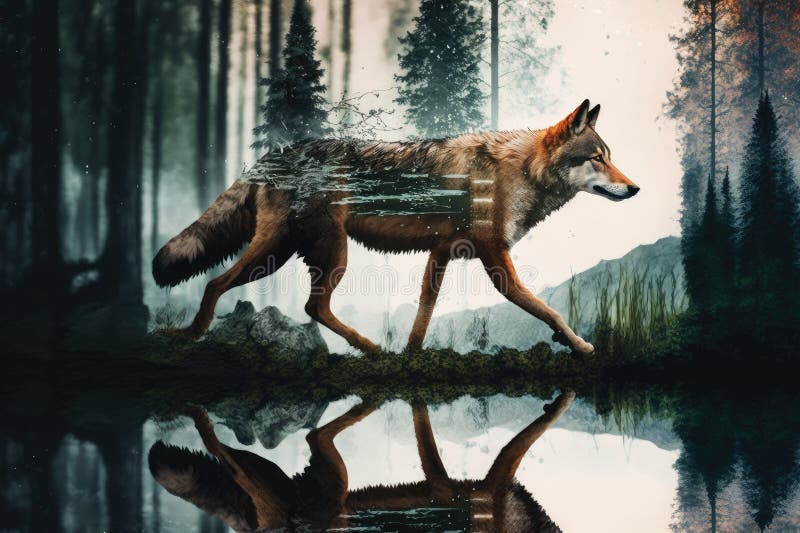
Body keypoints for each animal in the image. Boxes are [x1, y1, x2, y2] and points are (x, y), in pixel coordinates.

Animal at [153, 99, 639, 355]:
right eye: (598, 158)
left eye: (610, 157)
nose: (635, 188)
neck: (518, 172)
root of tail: (274, 153)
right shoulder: (495, 260)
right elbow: (546, 308)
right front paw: (580, 345)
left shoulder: (441, 253)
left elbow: (424, 309)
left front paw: (410, 355)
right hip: (311, 254)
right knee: (234, 287)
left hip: (292, 254)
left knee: (301, 305)